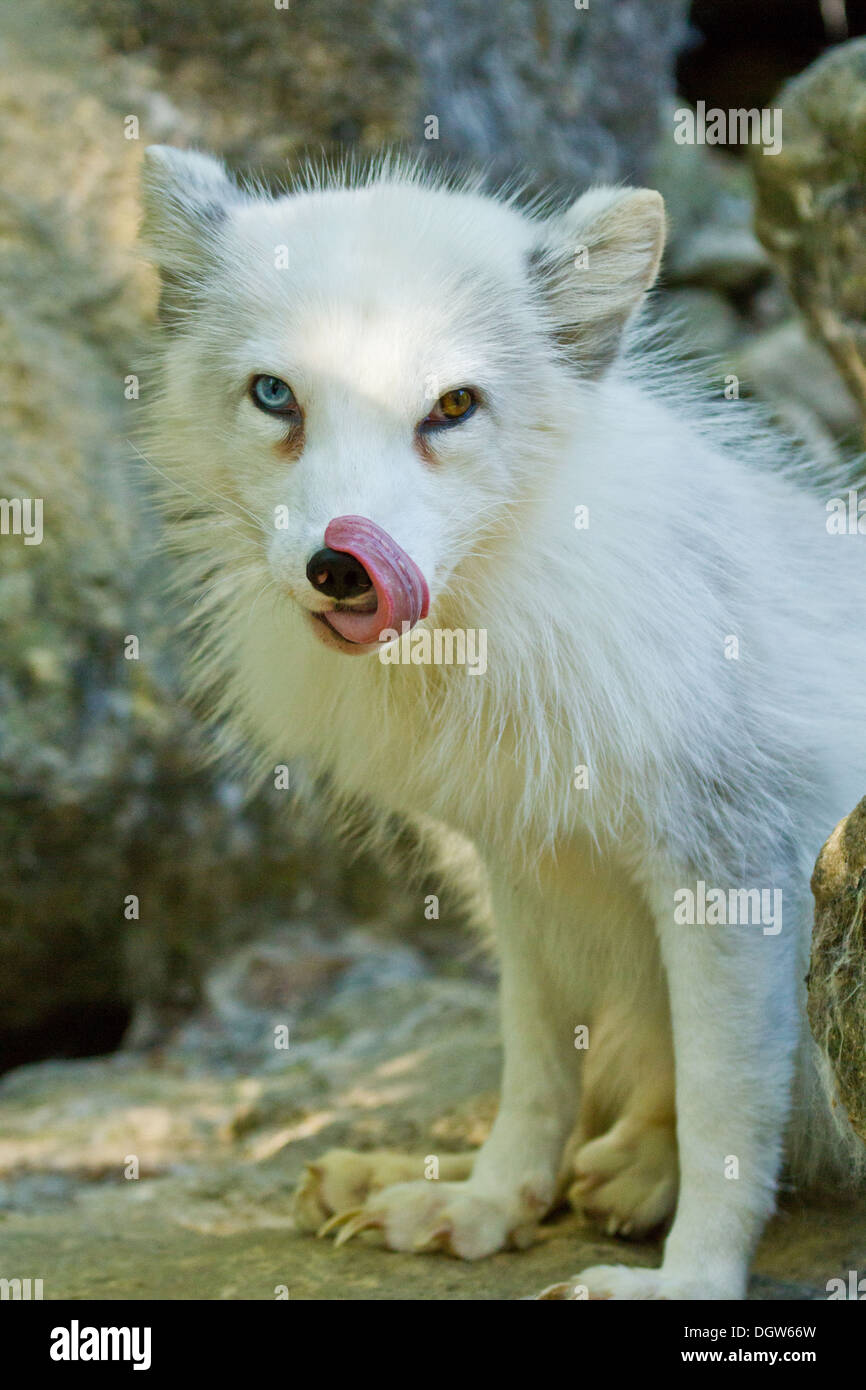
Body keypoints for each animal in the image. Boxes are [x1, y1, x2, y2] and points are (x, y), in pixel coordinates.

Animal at [139, 145, 866, 1300]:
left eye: (452, 405)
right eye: (273, 395)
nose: (343, 566)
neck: (490, 620)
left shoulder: (732, 864)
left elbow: (729, 1114)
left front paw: (694, 1281)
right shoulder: (519, 860)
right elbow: (535, 1071)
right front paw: (488, 1202)